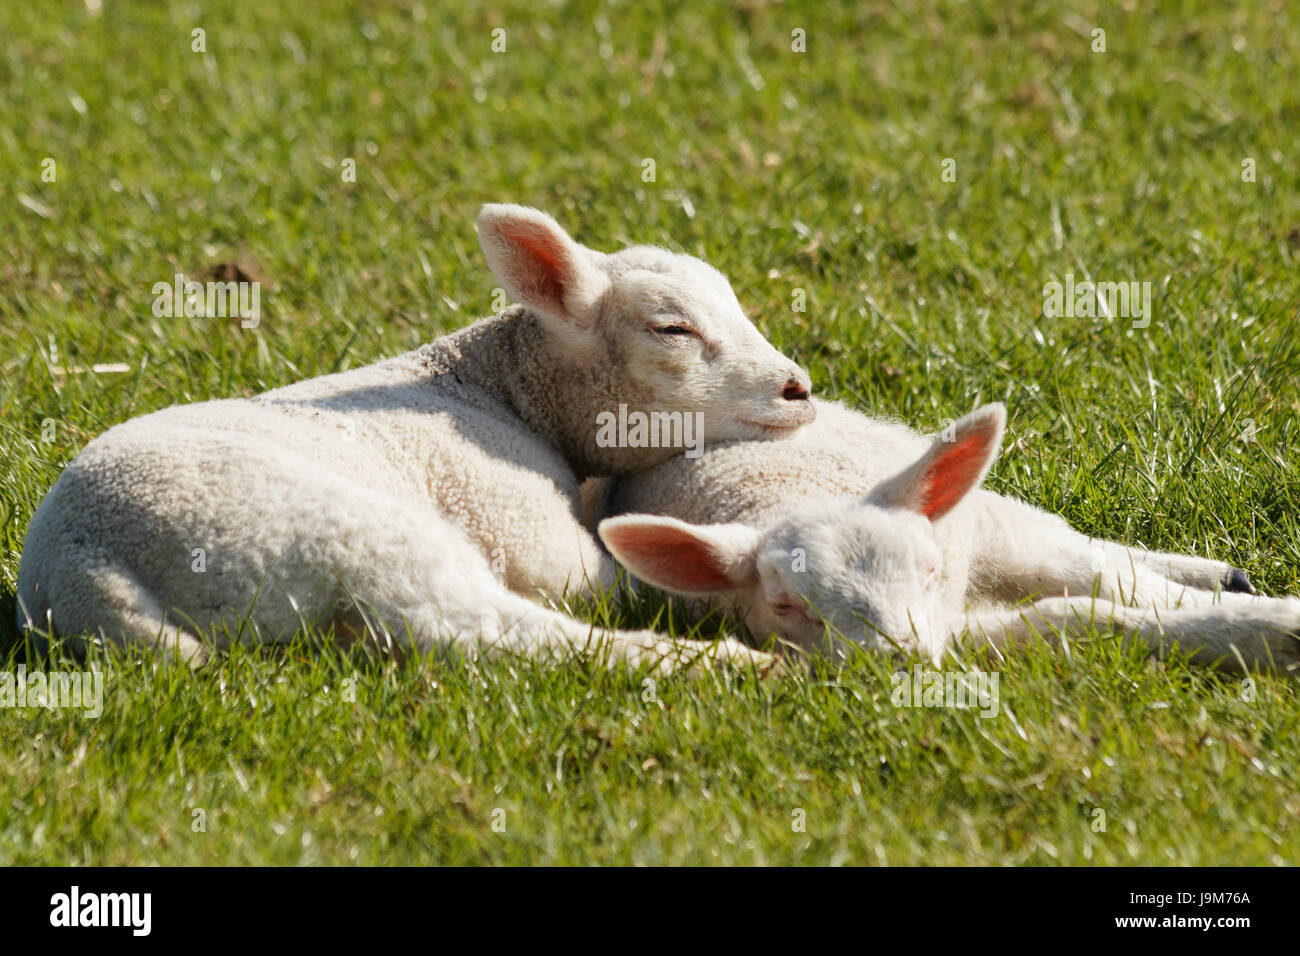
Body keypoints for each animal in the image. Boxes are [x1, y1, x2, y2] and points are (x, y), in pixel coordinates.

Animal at [16, 204, 815, 674]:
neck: (503, 391)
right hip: (343, 537)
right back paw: (721, 663)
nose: (798, 389)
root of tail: (83, 573)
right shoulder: (520, 523)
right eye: (670, 328)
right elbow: (588, 579)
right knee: (490, 629)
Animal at [596, 400, 1300, 673]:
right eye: (787, 607)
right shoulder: (954, 630)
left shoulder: (976, 558)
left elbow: (1119, 587)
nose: (902, 662)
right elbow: (1072, 619)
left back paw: (1215, 575)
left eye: (930, 570)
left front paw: (1265, 621)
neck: (789, 494)